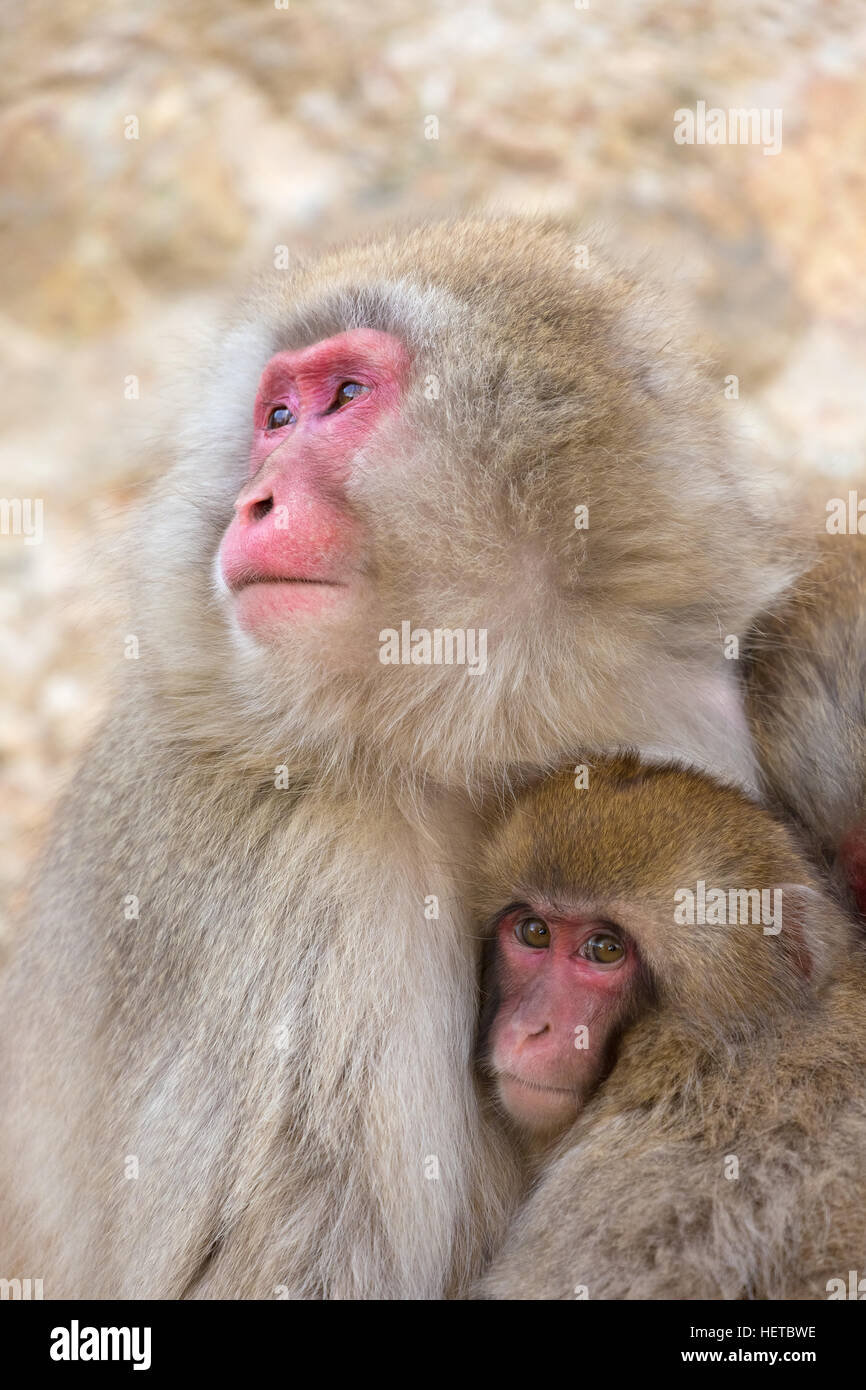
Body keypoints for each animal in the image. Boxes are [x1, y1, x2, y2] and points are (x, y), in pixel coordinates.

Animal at [0, 218, 801, 1300]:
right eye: (276, 415)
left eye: (342, 397)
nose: (252, 503)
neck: (474, 726)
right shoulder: (316, 881)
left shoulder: (690, 708)